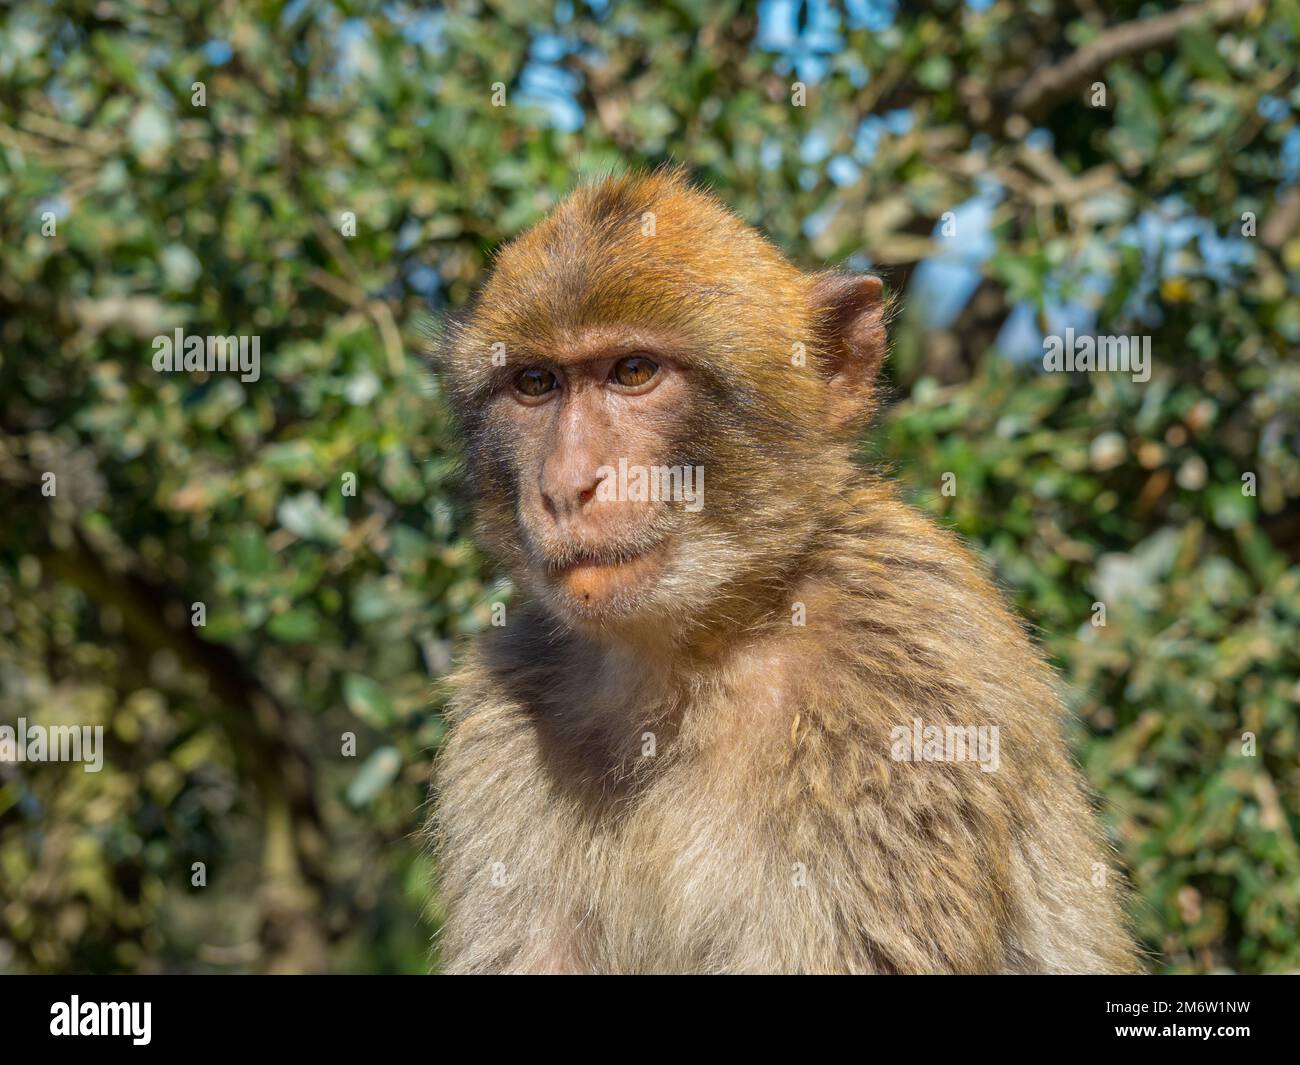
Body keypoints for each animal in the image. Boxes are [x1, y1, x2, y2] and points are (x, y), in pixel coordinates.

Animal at [430, 167, 1139, 975]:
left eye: (633, 371)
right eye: (536, 383)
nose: (566, 485)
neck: (708, 642)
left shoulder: (902, 692)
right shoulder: (506, 702)